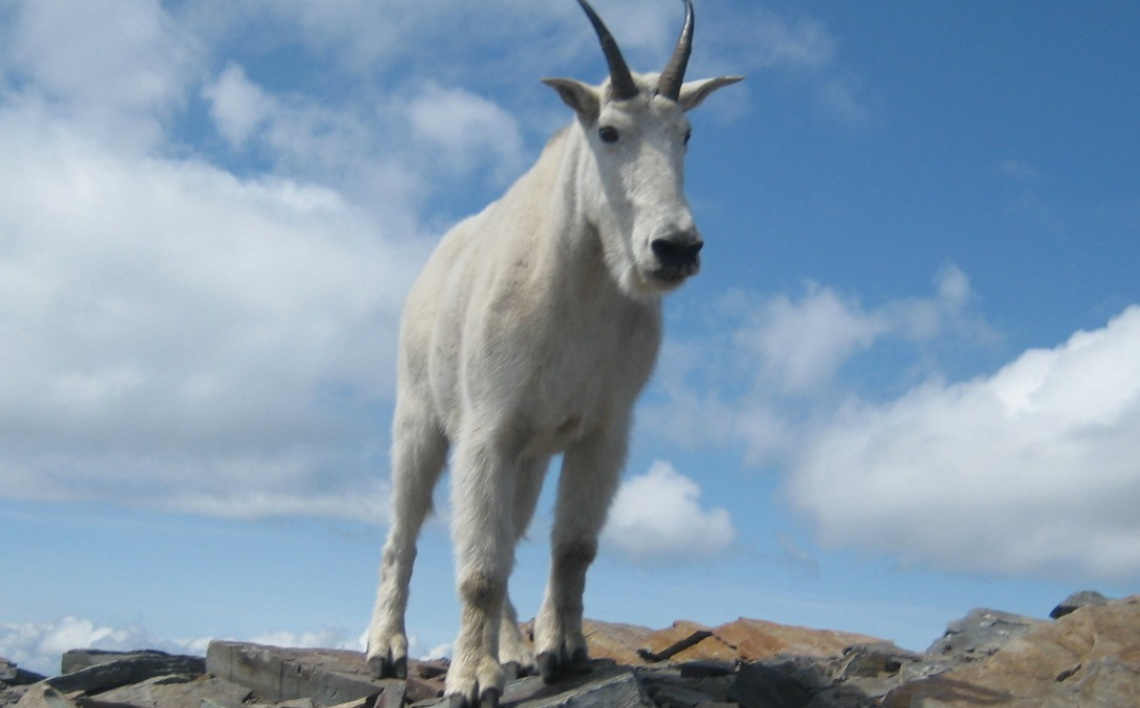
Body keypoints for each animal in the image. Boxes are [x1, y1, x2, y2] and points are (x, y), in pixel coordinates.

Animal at [366, 1, 741, 705]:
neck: (581, 285)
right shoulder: (486, 431)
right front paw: (469, 681)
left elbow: (572, 546)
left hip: (532, 457)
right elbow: (479, 568)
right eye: (608, 132)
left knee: (511, 539)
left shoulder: (601, 430)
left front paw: (561, 653)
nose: (675, 248)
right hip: (418, 421)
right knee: (403, 534)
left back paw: (513, 651)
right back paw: (386, 649)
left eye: (686, 134)